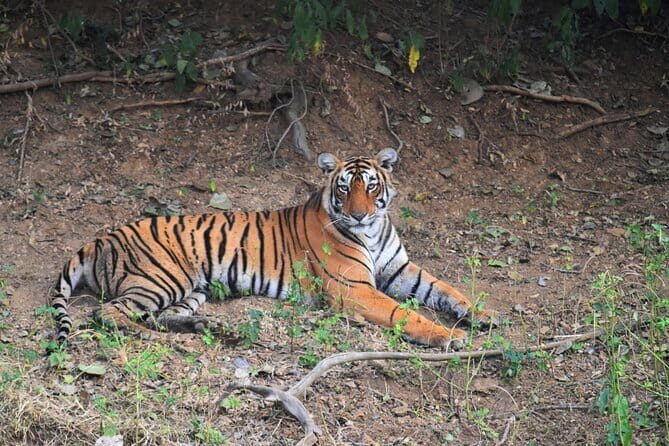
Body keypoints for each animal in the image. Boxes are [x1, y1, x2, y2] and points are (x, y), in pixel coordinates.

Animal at [52, 148, 496, 348]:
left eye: (371, 187)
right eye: (343, 188)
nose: (357, 215)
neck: (372, 231)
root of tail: (101, 237)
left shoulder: (400, 269)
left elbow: (444, 289)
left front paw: (483, 314)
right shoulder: (354, 289)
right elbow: (403, 312)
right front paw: (450, 337)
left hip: (190, 290)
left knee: (155, 315)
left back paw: (207, 328)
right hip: (162, 279)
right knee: (109, 314)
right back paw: (162, 338)